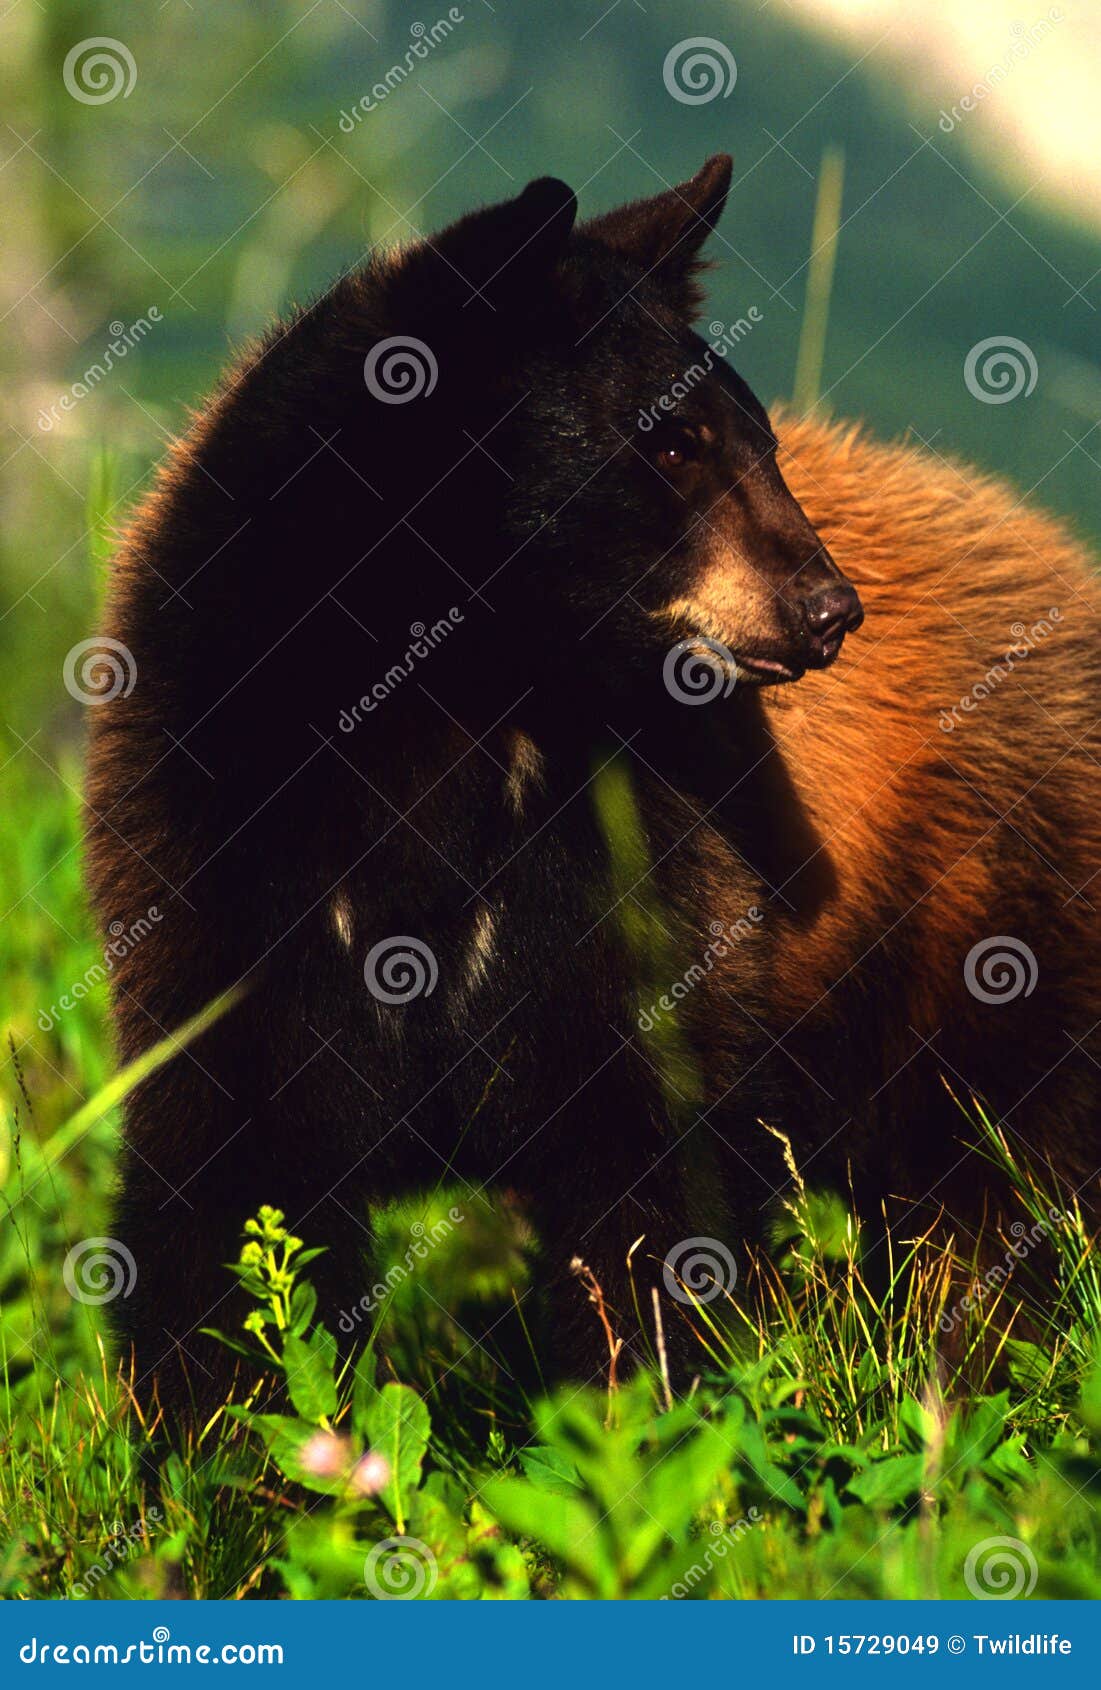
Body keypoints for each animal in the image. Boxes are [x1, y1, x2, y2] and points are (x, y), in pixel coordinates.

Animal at [84, 155, 1101, 1421]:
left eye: (764, 438)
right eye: (672, 444)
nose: (831, 608)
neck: (444, 710)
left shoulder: (636, 852)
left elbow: (643, 1174)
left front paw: (645, 1424)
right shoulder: (214, 831)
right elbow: (224, 1178)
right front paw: (217, 1452)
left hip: (993, 913)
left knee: (1004, 1177)